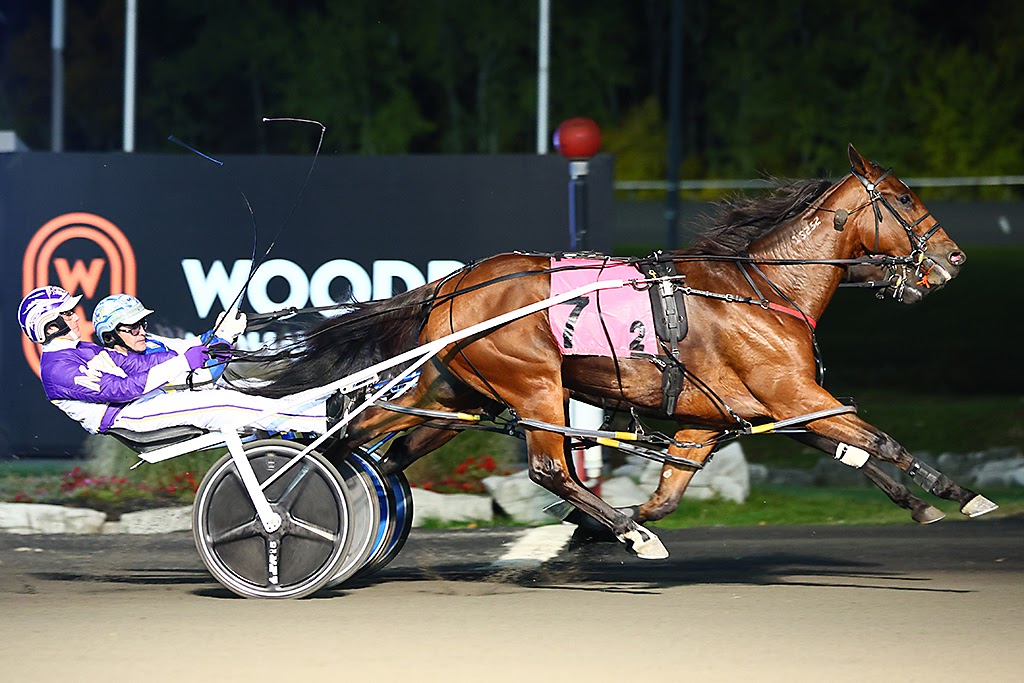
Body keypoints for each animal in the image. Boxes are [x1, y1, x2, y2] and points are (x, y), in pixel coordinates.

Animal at [251, 145, 992, 559]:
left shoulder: (717, 418)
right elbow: (881, 441)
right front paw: (960, 496)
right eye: (902, 198)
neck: (764, 289)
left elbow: (670, 493)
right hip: (534, 385)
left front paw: (599, 530)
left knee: (371, 443)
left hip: (455, 392)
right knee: (548, 468)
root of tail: (453, 284)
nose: (956, 258)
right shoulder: (792, 394)